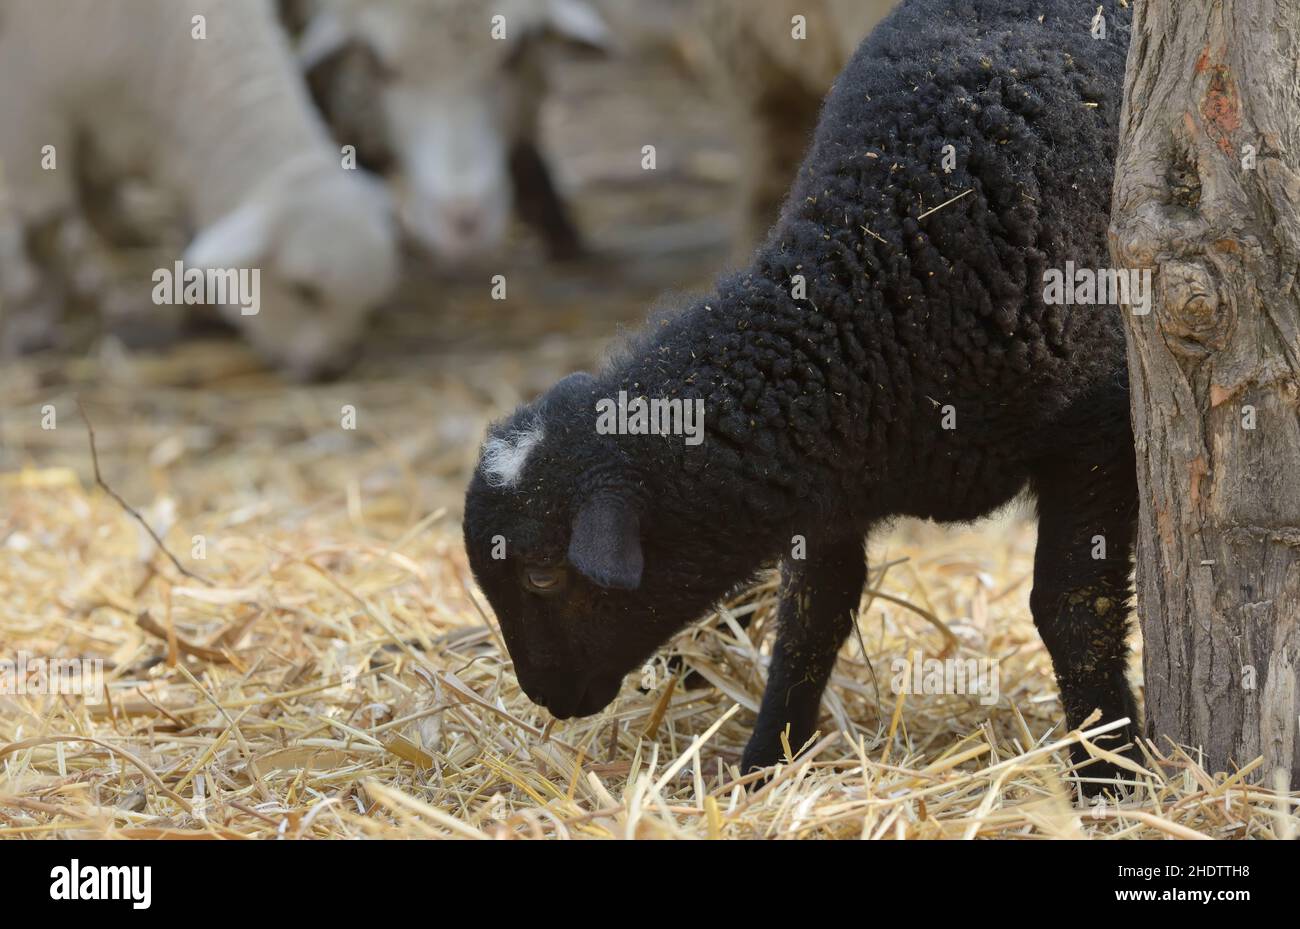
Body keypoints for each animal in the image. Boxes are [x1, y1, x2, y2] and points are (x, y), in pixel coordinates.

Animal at [0, 0, 398, 381]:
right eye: (302, 290)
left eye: (370, 307)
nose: (334, 369)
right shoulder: (30, 113)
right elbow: (43, 224)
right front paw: (29, 322)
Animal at [464, 0, 1139, 793]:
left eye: (542, 575)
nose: (546, 696)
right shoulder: (827, 480)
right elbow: (813, 617)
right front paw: (764, 763)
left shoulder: (1097, 433)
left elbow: (1073, 606)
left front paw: (1111, 769)